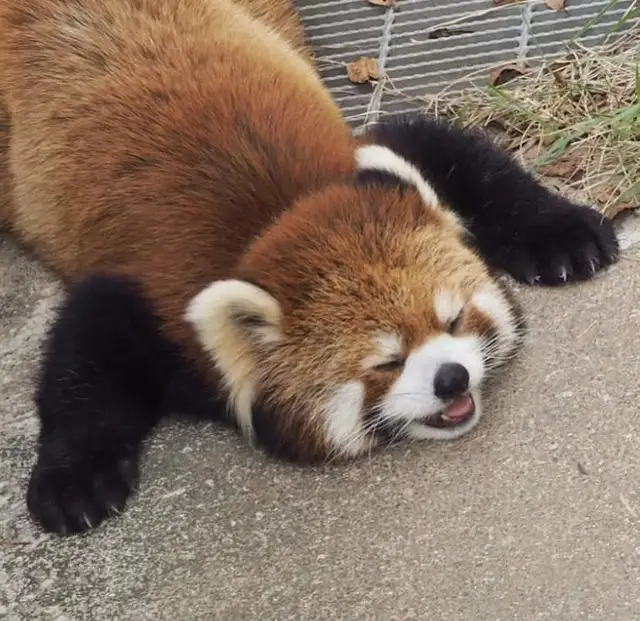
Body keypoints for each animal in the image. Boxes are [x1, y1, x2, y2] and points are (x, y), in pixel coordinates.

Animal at [0, 0, 618, 535]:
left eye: (454, 321)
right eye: (387, 363)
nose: (452, 378)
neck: (277, 218)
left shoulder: (351, 168)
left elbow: (454, 152)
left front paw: (566, 233)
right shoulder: (158, 303)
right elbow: (85, 344)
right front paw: (73, 480)